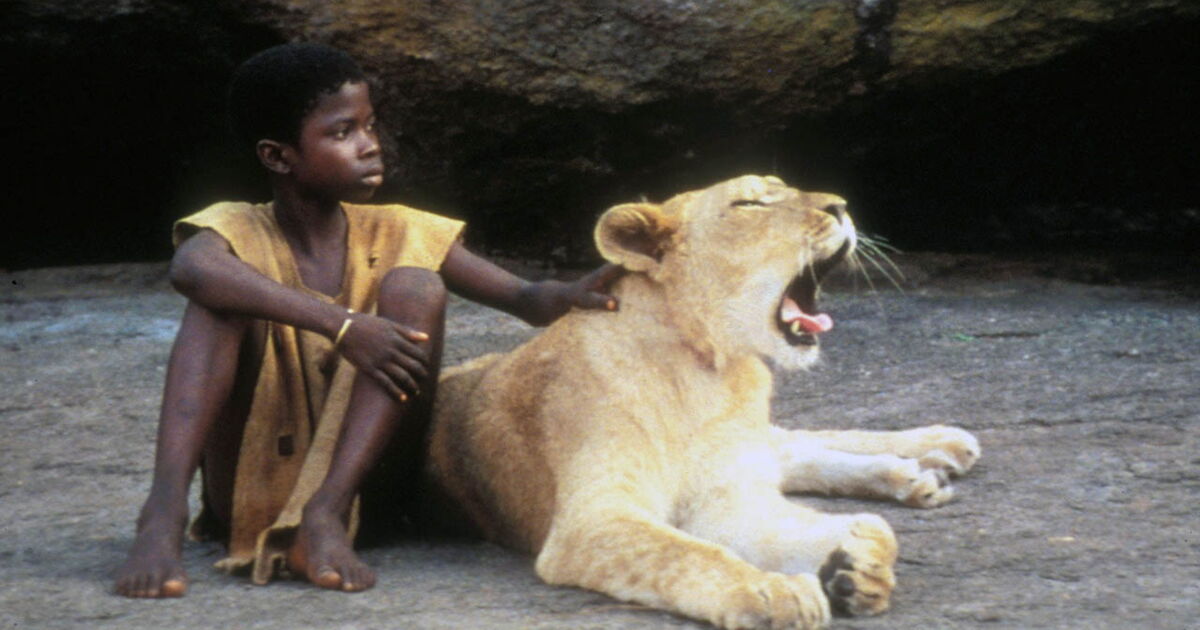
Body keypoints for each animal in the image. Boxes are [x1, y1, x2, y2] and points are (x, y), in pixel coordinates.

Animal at [423, 175, 980, 629]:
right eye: (749, 202)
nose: (842, 206)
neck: (706, 371)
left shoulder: (726, 494)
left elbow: (854, 532)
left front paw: (857, 565)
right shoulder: (593, 519)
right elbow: (687, 554)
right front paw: (779, 588)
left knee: (797, 443)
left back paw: (938, 449)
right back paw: (920, 474)